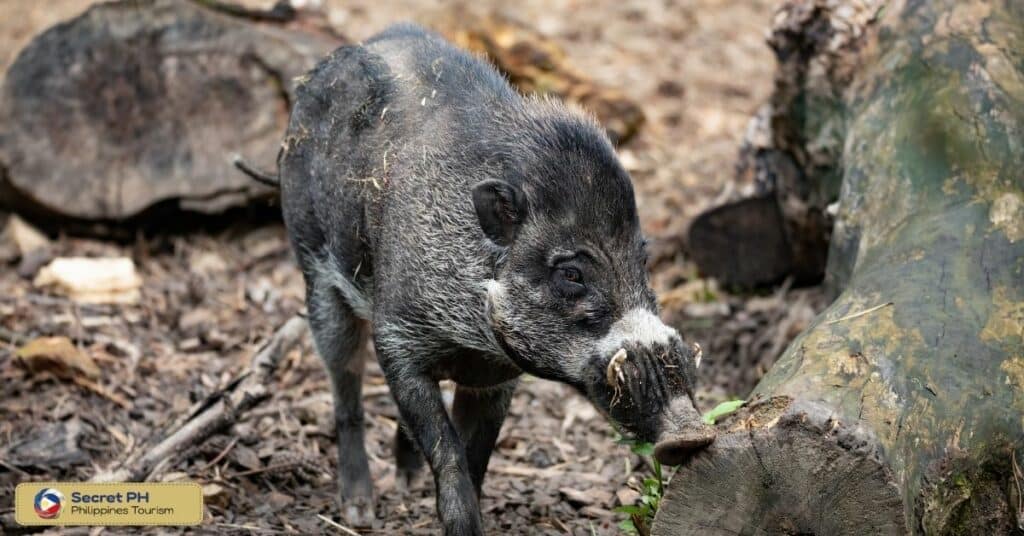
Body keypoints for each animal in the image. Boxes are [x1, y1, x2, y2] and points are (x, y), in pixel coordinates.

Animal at [270, 23, 714, 535]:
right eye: (571, 273)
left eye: (643, 259)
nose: (691, 433)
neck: (470, 338)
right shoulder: (398, 340)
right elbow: (447, 450)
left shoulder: (496, 378)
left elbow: (477, 452)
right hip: (313, 266)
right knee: (344, 383)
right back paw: (359, 510)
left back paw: (405, 483)